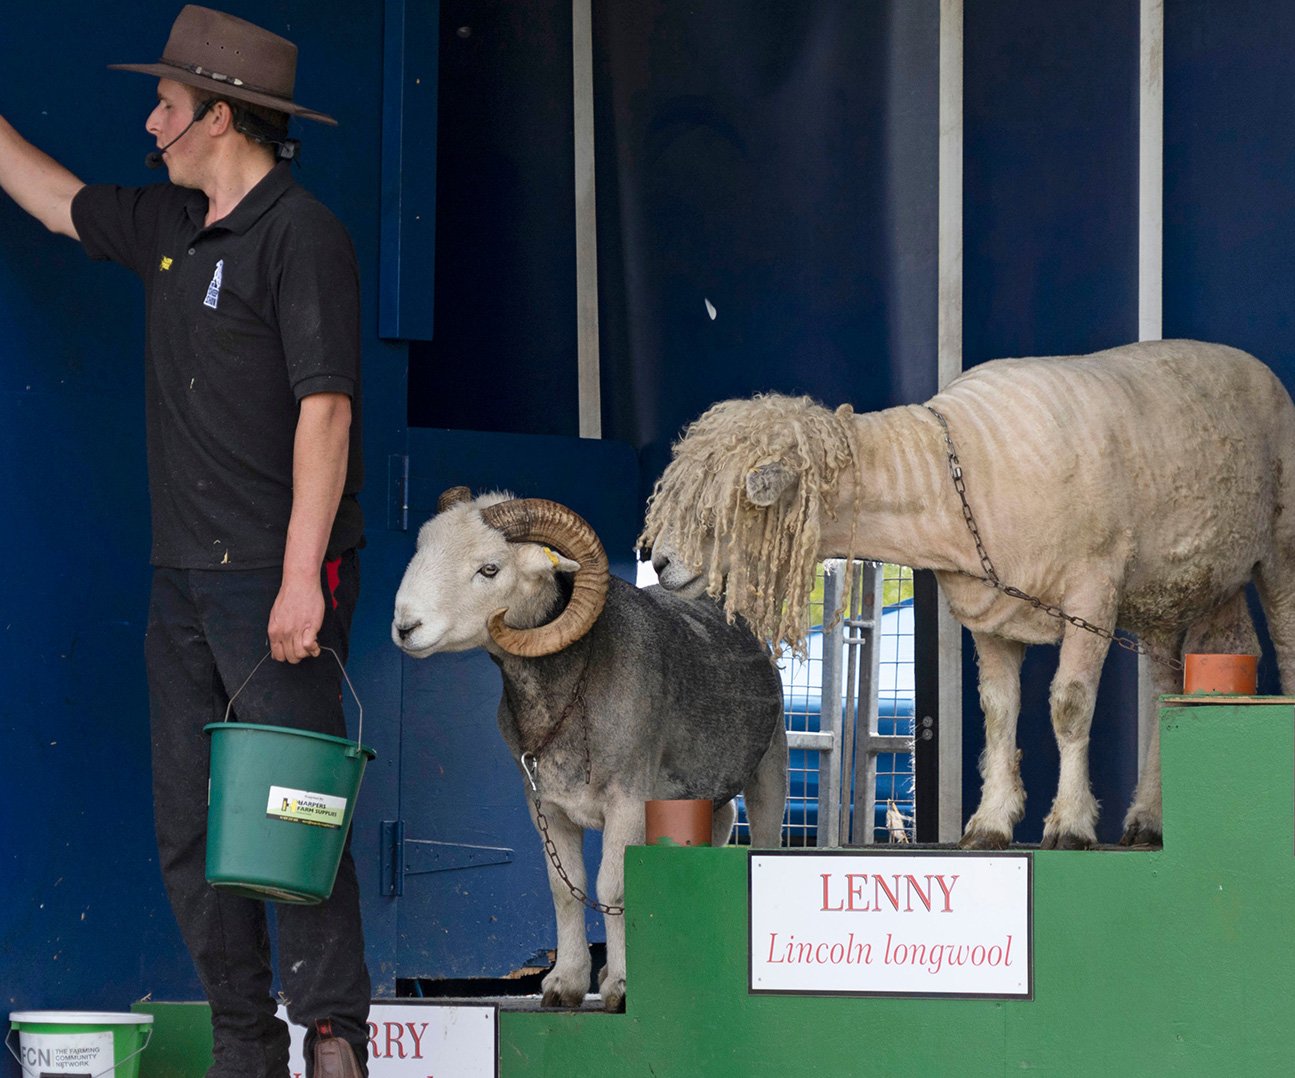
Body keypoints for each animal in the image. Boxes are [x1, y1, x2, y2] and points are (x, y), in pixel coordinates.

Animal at [392, 488, 787, 1011]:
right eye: (420, 550)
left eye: (490, 569)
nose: (405, 627)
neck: (569, 692)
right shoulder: (546, 806)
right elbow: (566, 887)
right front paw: (566, 983)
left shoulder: (628, 802)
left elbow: (613, 887)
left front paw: (619, 986)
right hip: (706, 801)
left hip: (770, 772)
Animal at [640, 339, 1295, 850]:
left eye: (726, 506)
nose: (660, 561)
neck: (949, 479)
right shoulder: (992, 611)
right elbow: (997, 709)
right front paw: (991, 823)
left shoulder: (1093, 590)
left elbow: (1070, 705)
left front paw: (1069, 824)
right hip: (1180, 590)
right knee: (1175, 682)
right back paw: (1148, 818)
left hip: (1278, 549)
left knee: (1284, 643)